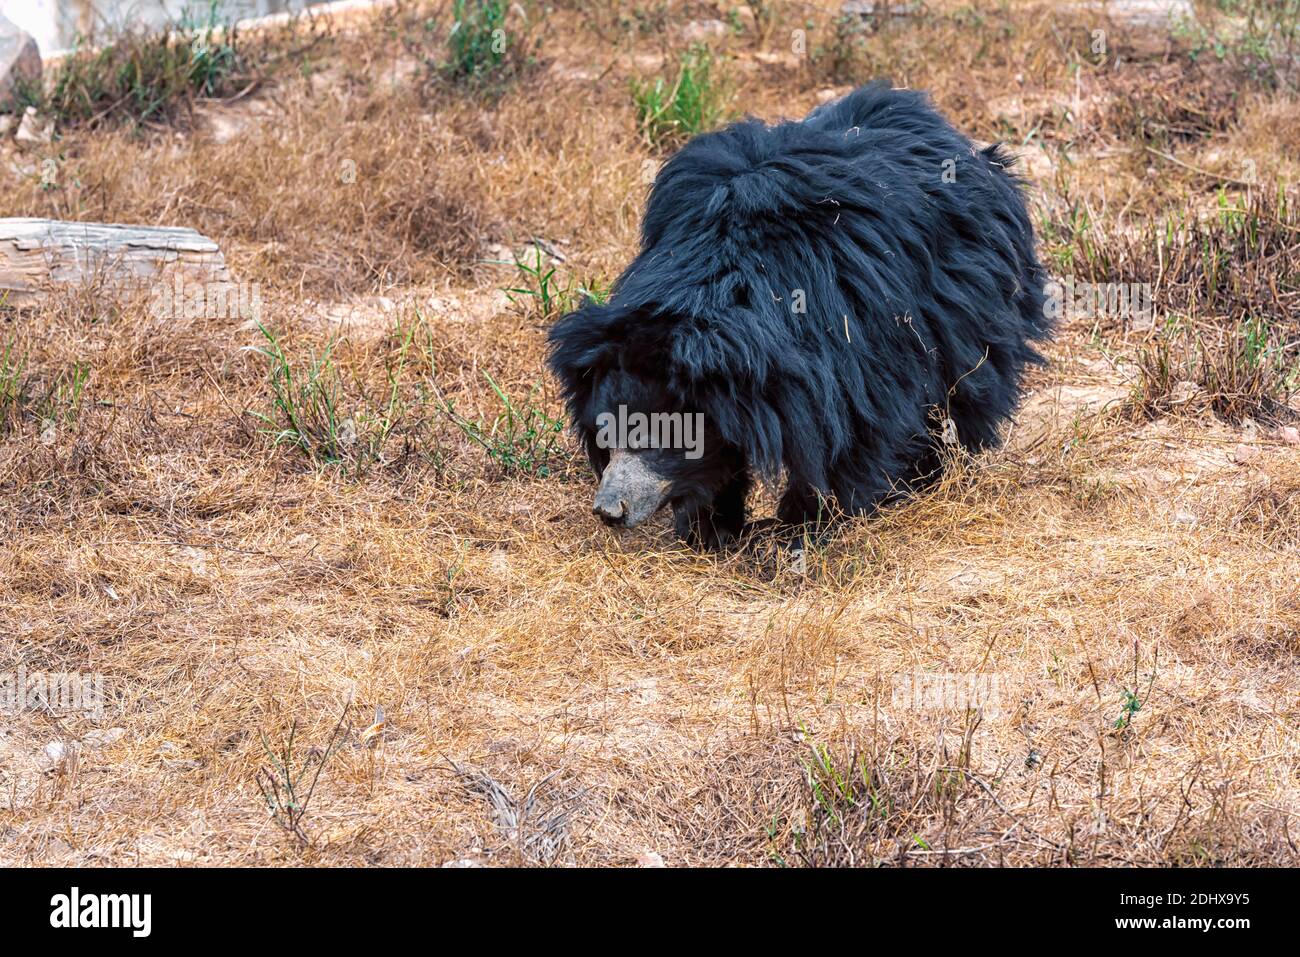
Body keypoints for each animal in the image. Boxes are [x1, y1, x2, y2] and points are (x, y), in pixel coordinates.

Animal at [547, 82, 1051, 548]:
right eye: (605, 430)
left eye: (657, 436)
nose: (610, 510)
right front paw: (711, 527)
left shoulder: (852, 331)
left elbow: (856, 423)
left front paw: (808, 524)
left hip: (968, 293)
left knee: (969, 381)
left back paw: (936, 470)